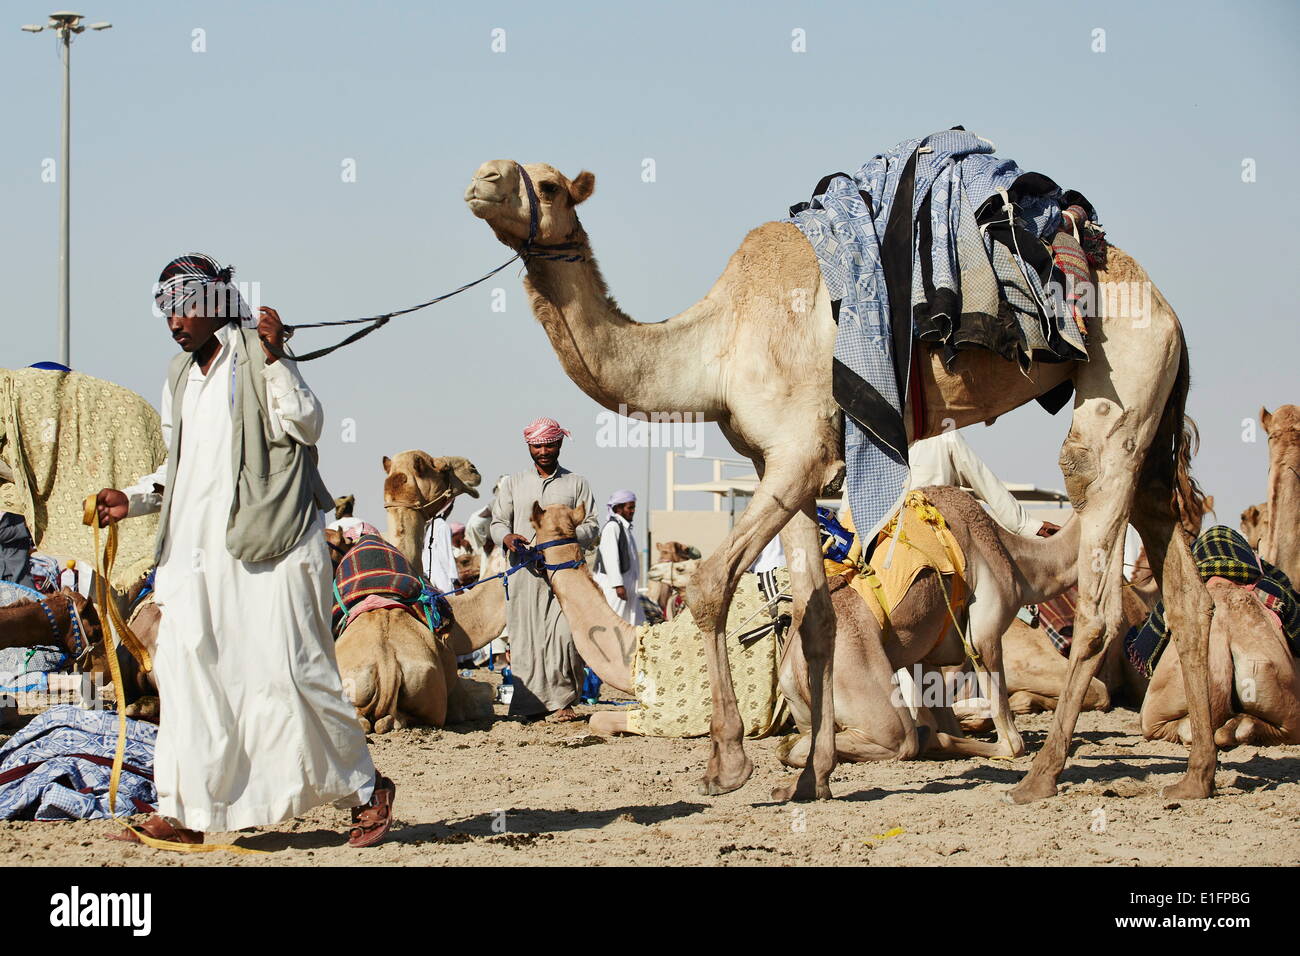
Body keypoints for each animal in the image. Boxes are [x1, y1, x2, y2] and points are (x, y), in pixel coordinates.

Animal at [466, 159, 1216, 803]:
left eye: (551, 185)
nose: (482, 179)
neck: (716, 344)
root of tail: (1172, 314)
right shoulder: (783, 463)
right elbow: (817, 616)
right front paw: (811, 778)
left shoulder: (799, 450)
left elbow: (710, 584)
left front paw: (728, 765)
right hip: (1152, 427)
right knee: (1186, 595)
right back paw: (1195, 776)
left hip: (1116, 397)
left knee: (1098, 589)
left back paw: (1041, 775)